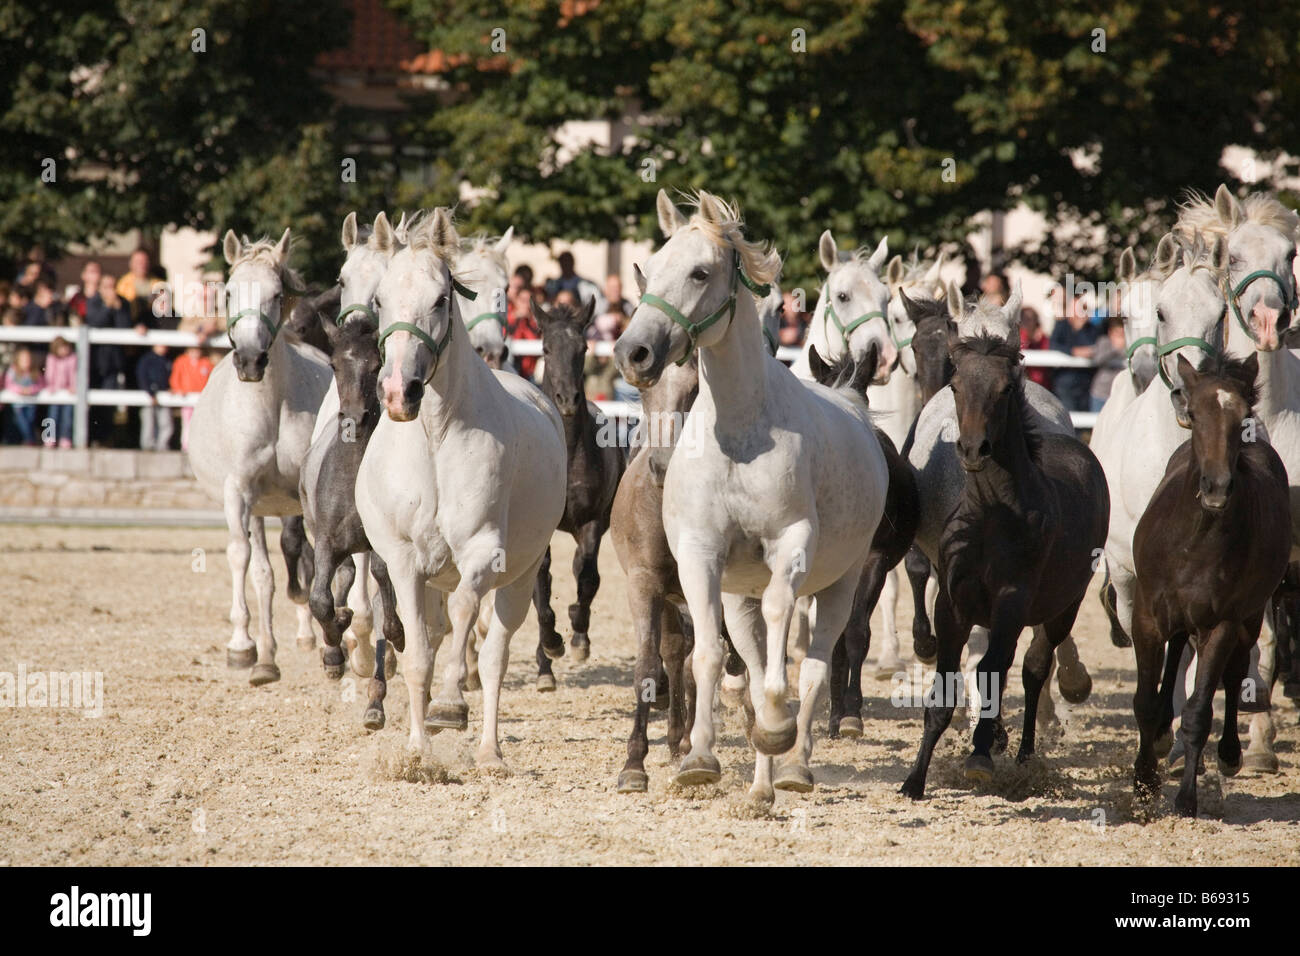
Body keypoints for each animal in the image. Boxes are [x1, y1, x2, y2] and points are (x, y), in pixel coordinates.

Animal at [188, 229, 332, 685]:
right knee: (265, 571)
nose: (250, 360)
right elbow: (244, 560)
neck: (272, 405)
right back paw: (269, 653)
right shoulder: (239, 492)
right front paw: (245, 648)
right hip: (257, 507)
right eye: (229, 292)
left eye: (276, 294)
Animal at [354, 208, 567, 769]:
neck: (436, 437)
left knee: (494, 653)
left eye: (440, 299)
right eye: (380, 300)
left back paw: (490, 751)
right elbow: (418, 655)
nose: (398, 392)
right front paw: (418, 751)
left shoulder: (482, 553)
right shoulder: (405, 563)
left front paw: (451, 705)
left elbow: (465, 618)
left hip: (520, 575)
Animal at [614, 189, 889, 796]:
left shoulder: (791, 545)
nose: (634, 351)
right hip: (739, 594)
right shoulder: (699, 557)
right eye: (651, 266)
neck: (740, 431)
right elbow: (708, 656)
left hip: (845, 579)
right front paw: (697, 758)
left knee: (815, 665)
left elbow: (781, 649)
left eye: (700, 271)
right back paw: (762, 781)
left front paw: (775, 731)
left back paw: (795, 763)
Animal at [900, 286, 1110, 799]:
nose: (972, 446)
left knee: (1035, 655)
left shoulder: (1012, 594)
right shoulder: (951, 581)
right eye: (915, 349)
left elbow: (998, 660)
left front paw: (986, 739)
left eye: (1016, 362)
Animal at [1130, 353, 1290, 817]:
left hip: (1250, 615)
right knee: (1178, 651)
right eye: (1195, 415)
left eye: (1242, 418)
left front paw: (1185, 798)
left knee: (1235, 672)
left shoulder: (1223, 622)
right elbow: (1145, 700)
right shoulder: (1146, 615)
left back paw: (1231, 753)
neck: (1194, 539)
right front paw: (1143, 782)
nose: (1217, 488)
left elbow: (1201, 709)